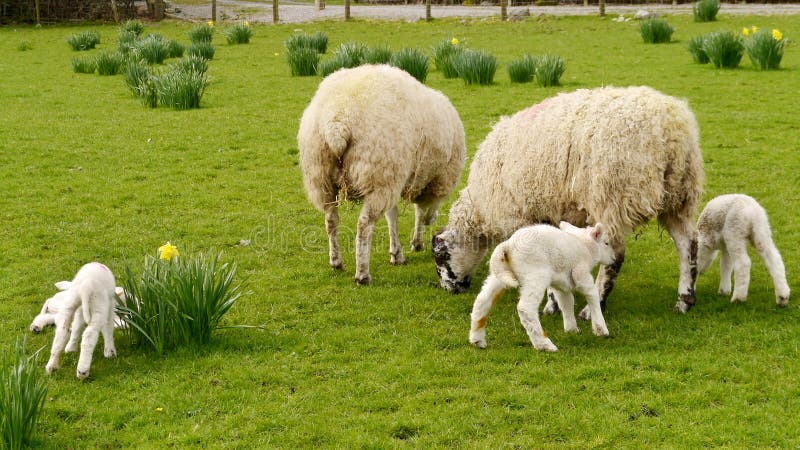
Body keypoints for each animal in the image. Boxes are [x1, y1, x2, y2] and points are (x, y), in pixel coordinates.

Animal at [298, 64, 466, 284]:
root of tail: (337, 122)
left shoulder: (395, 178)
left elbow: (392, 216)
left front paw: (397, 254)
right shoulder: (438, 179)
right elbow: (421, 211)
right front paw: (417, 240)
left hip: (321, 176)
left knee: (331, 220)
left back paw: (336, 262)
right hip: (377, 172)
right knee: (363, 226)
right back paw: (362, 274)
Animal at [433, 86, 705, 315]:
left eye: (441, 257)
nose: (450, 289)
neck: (480, 208)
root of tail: (671, 127)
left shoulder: (523, 216)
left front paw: (551, 304)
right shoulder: (552, 214)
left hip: (612, 197)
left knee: (616, 256)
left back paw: (595, 305)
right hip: (679, 197)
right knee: (688, 244)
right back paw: (685, 300)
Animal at [469, 222, 615, 352]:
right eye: (606, 243)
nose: (613, 259)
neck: (586, 247)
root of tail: (508, 245)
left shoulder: (561, 283)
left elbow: (567, 302)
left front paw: (571, 329)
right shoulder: (582, 274)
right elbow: (593, 296)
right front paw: (601, 330)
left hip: (500, 274)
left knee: (482, 301)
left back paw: (477, 340)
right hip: (535, 275)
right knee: (525, 308)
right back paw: (544, 345)